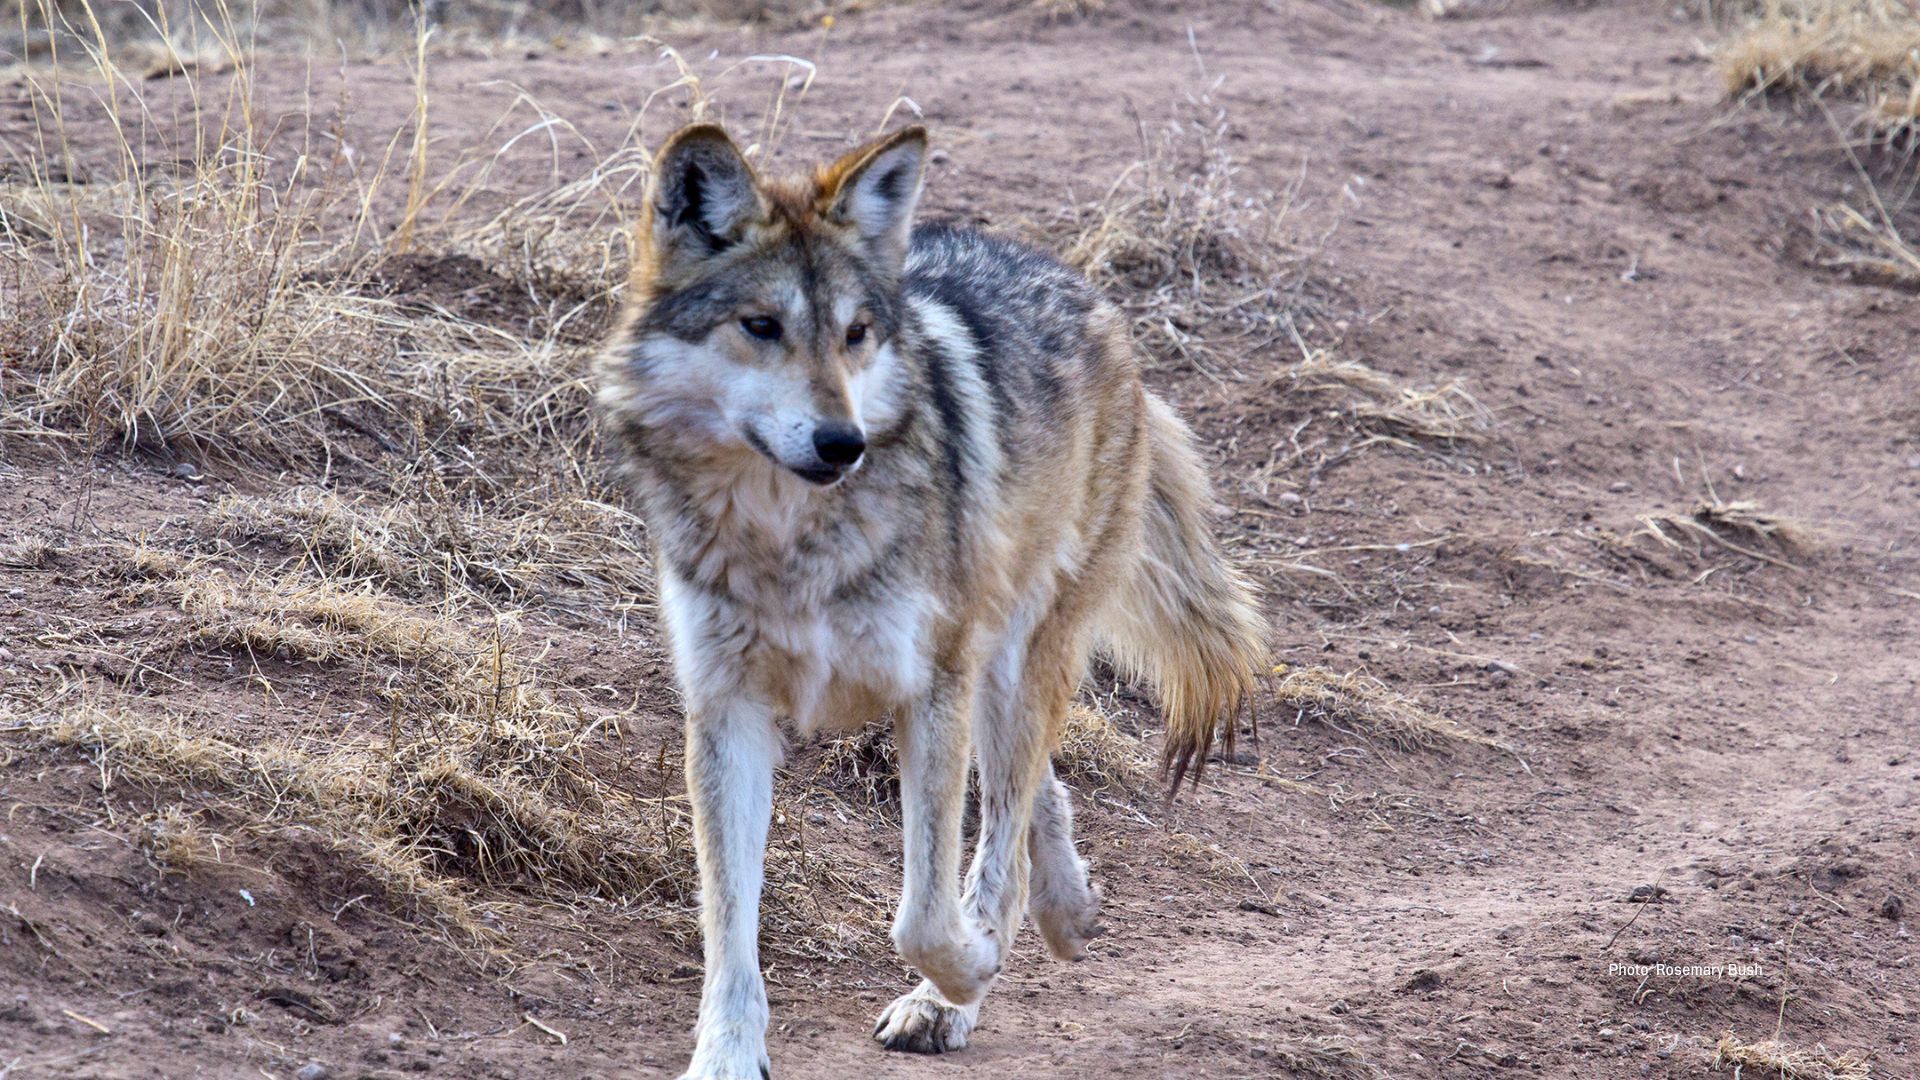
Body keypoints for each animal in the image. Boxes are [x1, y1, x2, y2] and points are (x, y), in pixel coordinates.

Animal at [595, 122, 1267, 1079]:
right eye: (761, 327)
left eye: (855, 334)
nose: (842, 442)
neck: (790, 539)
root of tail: (1081, 290)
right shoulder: (728, 709)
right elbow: (727, 922)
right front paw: (726, 1057)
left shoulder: (930, 690)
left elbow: (923, 915)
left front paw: (968, 972)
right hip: (992, 667)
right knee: (1031, 795)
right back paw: (1069, 908)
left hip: (1012, 657)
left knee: (1006, 826)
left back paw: (966, 983)